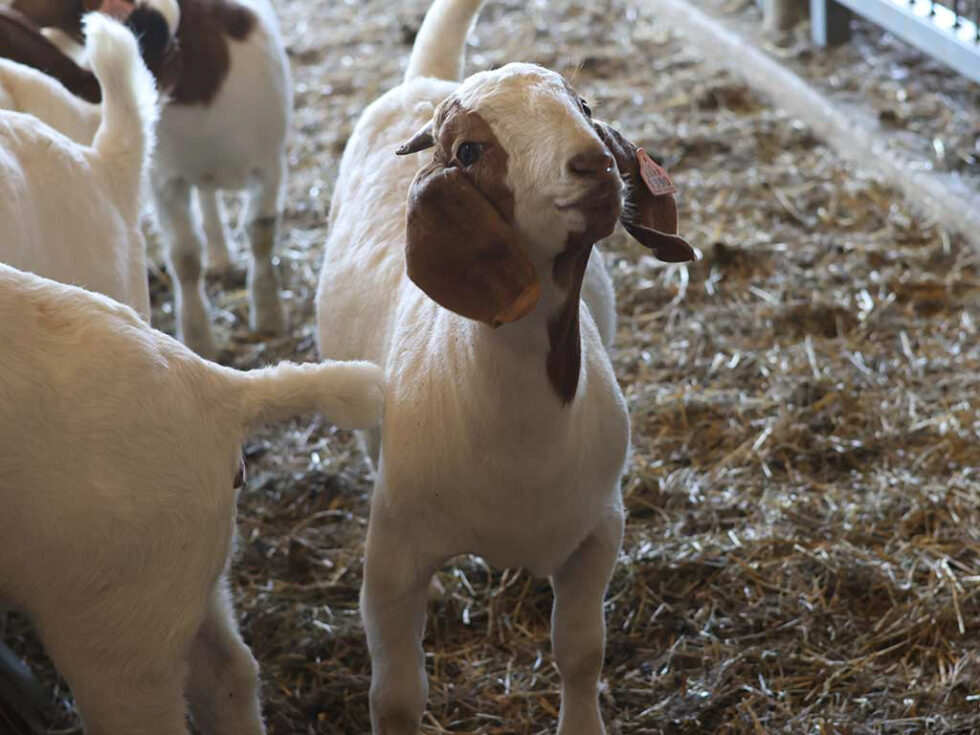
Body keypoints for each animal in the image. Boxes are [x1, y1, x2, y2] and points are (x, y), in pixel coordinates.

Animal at [314, 1, 695, 732]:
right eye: (469, 150)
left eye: (583, 104)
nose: (594, 163)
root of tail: (425, 78)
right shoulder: (392, 559)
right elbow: (396, 697)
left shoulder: (598, 530)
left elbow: (581, 651)